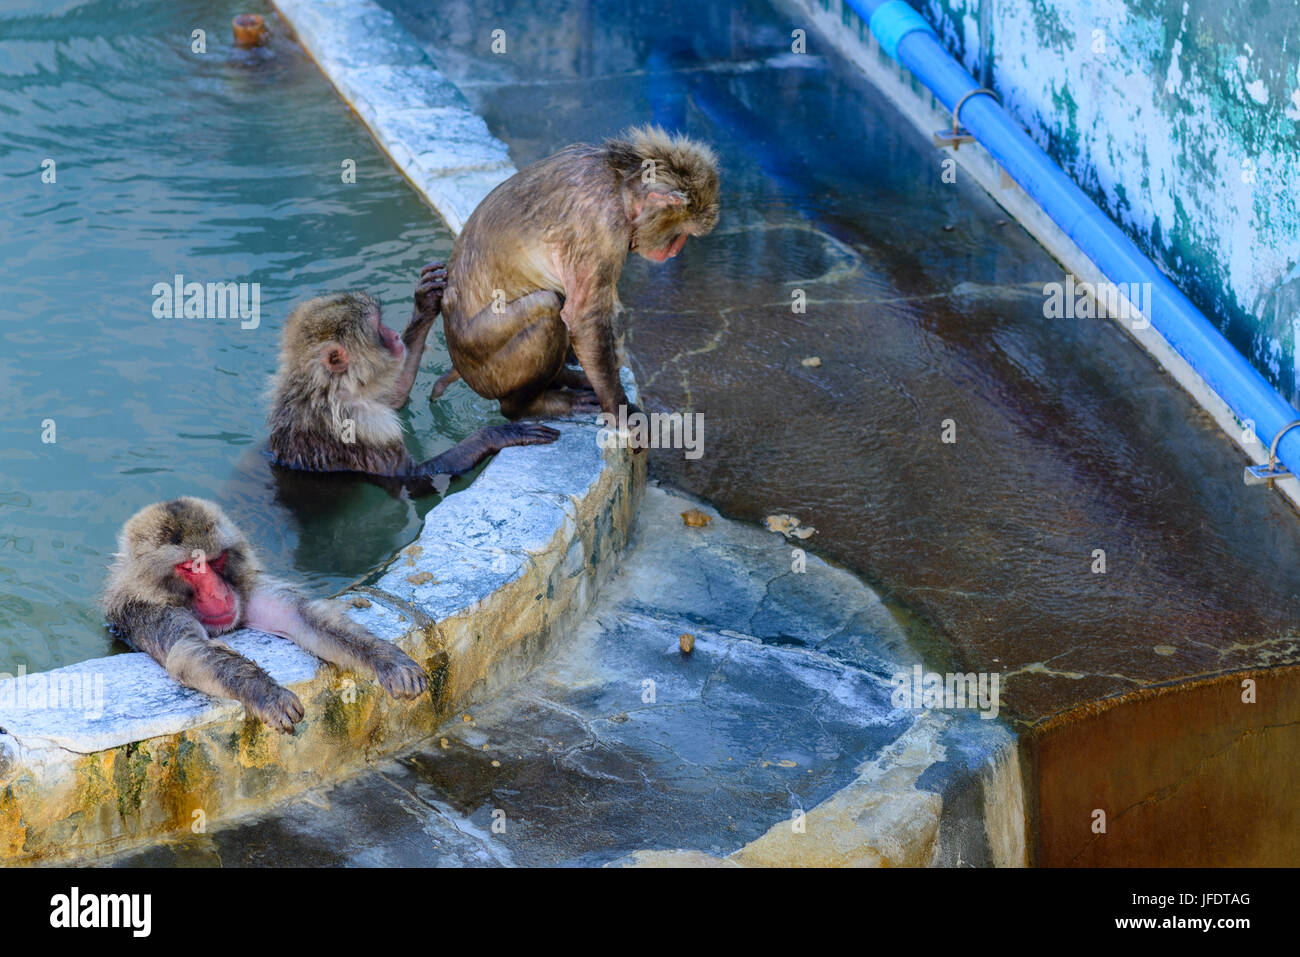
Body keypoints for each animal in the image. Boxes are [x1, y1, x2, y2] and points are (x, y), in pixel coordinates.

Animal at [101, 497, 427, 733]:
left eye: (215, 561)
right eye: (191, 568)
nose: (218, 594)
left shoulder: (244, 589)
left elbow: (301, 616)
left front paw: (389, 660)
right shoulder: (153, 614)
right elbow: (189, 649)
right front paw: (268, 695)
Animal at [267, 261, 558, 490]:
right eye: (378, 328)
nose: (394, 336)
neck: (329, 388)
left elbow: (395, 397)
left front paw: (425, 302)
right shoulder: (358, 422)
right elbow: (412, 479)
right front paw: (497, 434)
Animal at [436, 126, 720, 437]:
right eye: (680, 234)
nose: (675, 250)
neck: (619, 183)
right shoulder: (603, 227)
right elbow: (583, 318)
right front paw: (620, 411)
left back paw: (565, 379)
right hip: (484, 368)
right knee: (547, 305)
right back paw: (527, 407)